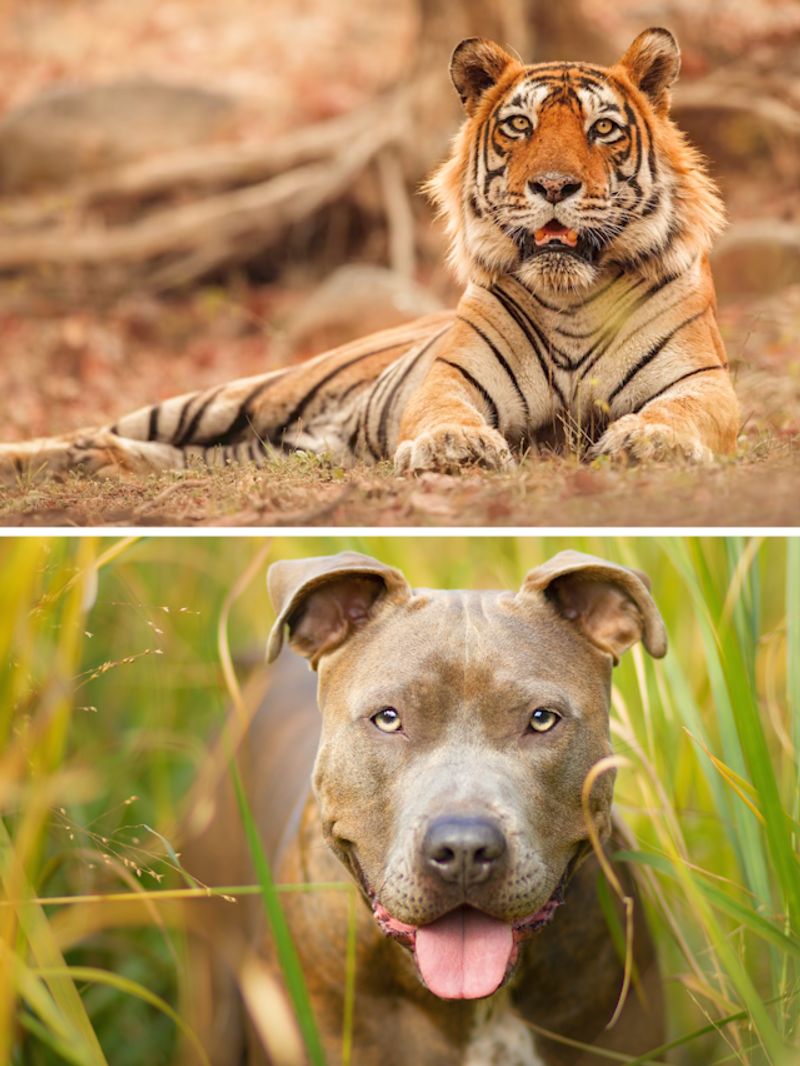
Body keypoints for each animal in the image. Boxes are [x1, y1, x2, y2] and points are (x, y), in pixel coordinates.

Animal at [0, 27, 739, 483]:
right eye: (518, 126)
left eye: (603, 129)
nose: (553, 187)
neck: (573, 298)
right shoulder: (451, 378)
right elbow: (445, 411)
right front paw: (454, 446)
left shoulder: (703, 382)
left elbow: (681, 412)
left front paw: (650, 440)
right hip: (235, 395)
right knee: (116, 426)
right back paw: (65, 454)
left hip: (266, 448)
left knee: (188, 458)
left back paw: (99, 461)